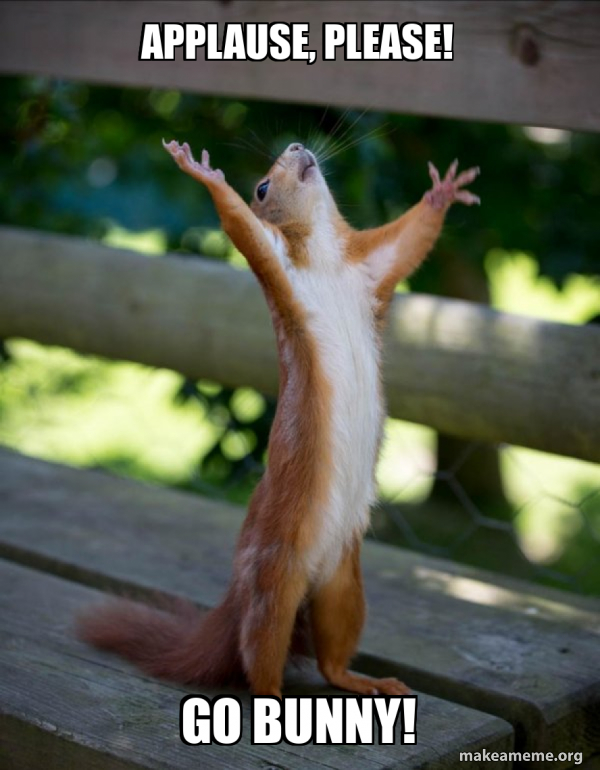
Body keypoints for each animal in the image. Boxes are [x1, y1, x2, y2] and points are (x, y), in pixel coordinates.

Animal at [77, 139, 479, 698]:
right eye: (263, 187)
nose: (296, 146)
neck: (327, 258)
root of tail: (238, 595)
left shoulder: (372, 267)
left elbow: (410, 239)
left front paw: (442, 193)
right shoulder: (277, 264)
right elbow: (240, 226)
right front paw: (203, 173)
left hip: (344, 586)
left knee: (332, 656)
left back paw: (365, 681)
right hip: (273, 583)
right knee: (259, 659)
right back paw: (276, 696)